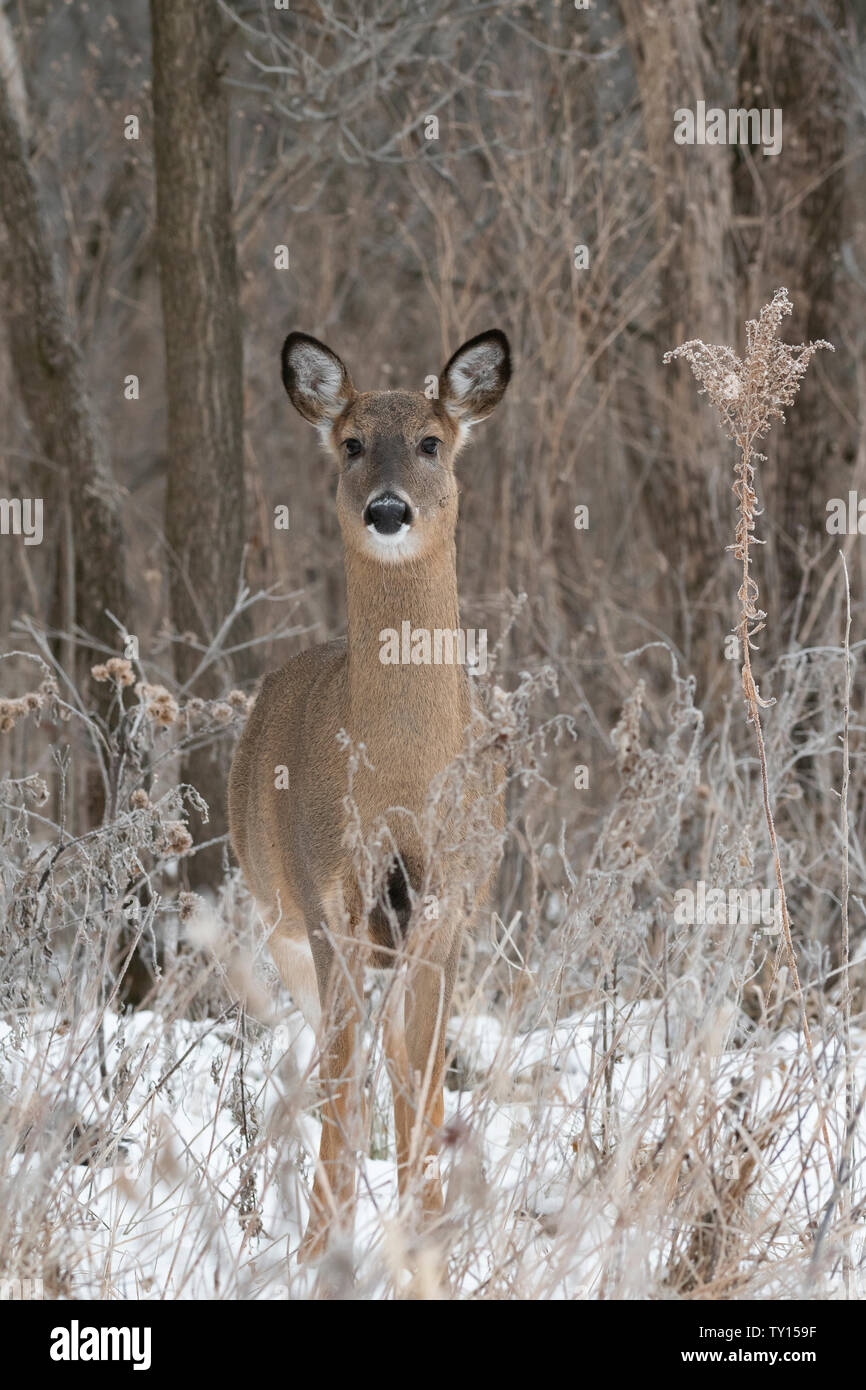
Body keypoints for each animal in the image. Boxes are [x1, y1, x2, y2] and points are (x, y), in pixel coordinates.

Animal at [228, 328, 511, 1261]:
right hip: (282, 923)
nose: (388, 510)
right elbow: (342, 1083)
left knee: (396, 1061)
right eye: (351, 443)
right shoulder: (330, 900)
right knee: (332, 1062)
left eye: (430, 442)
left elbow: (419, 1075)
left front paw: (428, 1233)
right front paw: (325, 1246)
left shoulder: (447, 903)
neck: (400, 781)